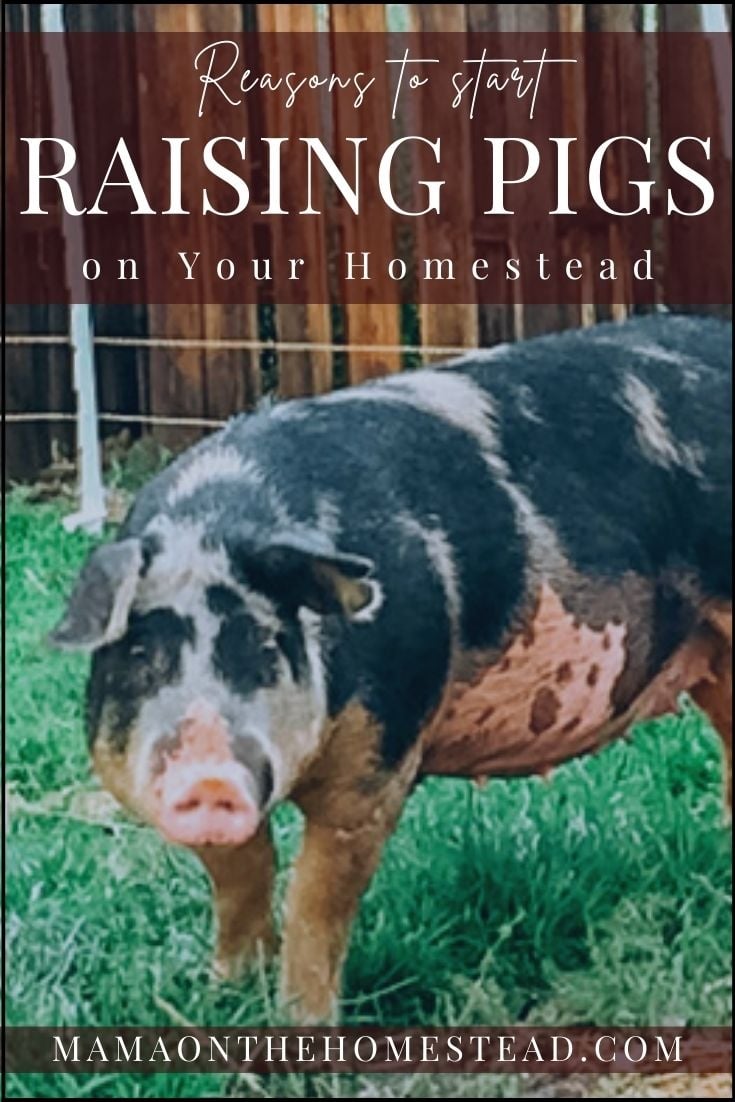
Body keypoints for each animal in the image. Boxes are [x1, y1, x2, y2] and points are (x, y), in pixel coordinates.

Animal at [50, 313, 732, 1022]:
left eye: (267, 644)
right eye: (138, 653)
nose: (210, 773)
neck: (213, 523)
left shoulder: (379, 759)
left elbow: (316, 904)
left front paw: (301, 1025)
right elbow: (240, 874)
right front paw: (226, 991)